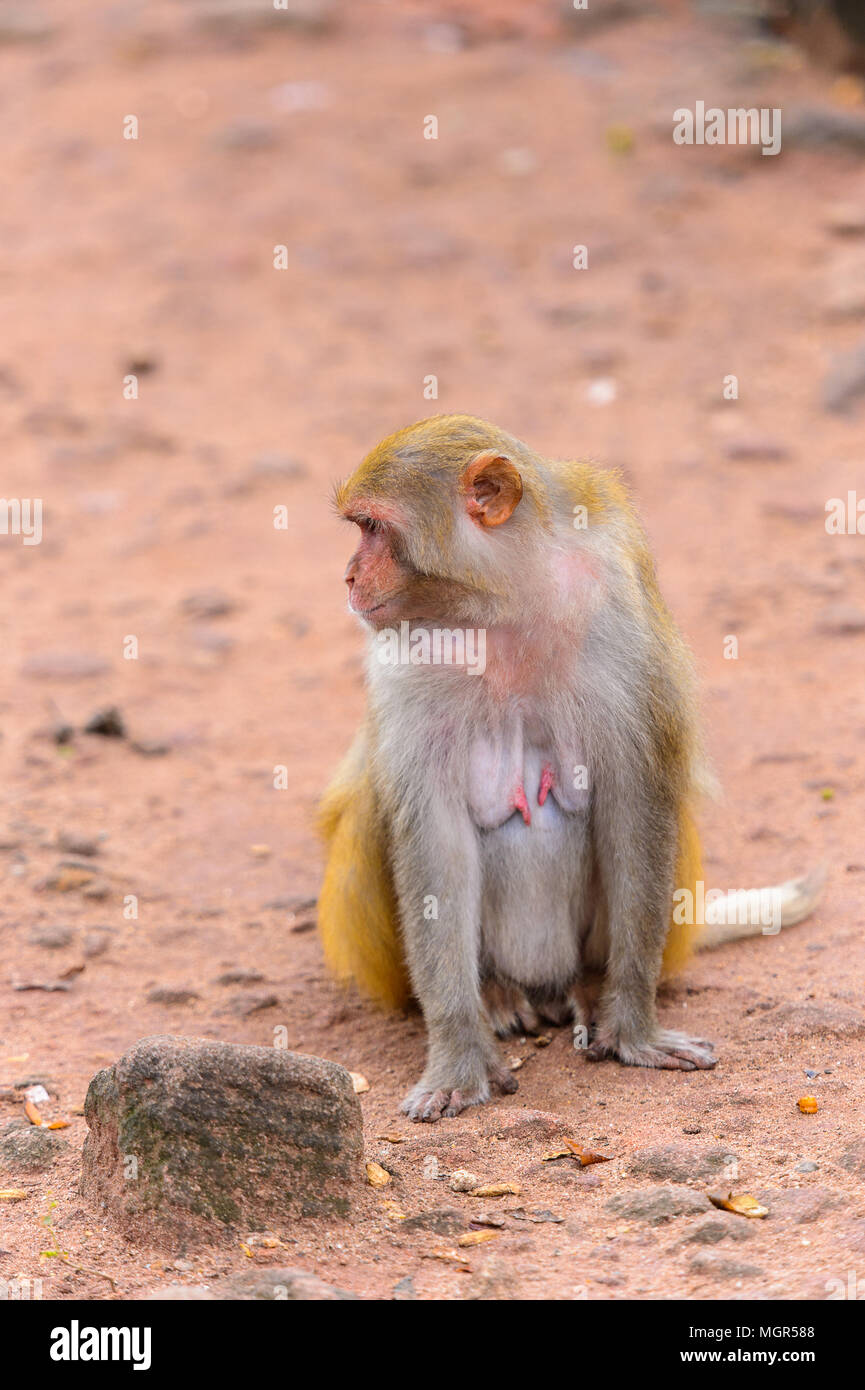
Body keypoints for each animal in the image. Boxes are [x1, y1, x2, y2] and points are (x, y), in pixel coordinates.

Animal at [317, 415, 823, 1122]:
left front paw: (633, 1026)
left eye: (371, 526)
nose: (347, 578)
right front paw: (458, 1053)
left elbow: (636, 800)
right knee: (376, 808)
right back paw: (496, 993)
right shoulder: (408, 652)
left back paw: (588, 984)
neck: (503, 602)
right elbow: (435, 837)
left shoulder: (616, 606)